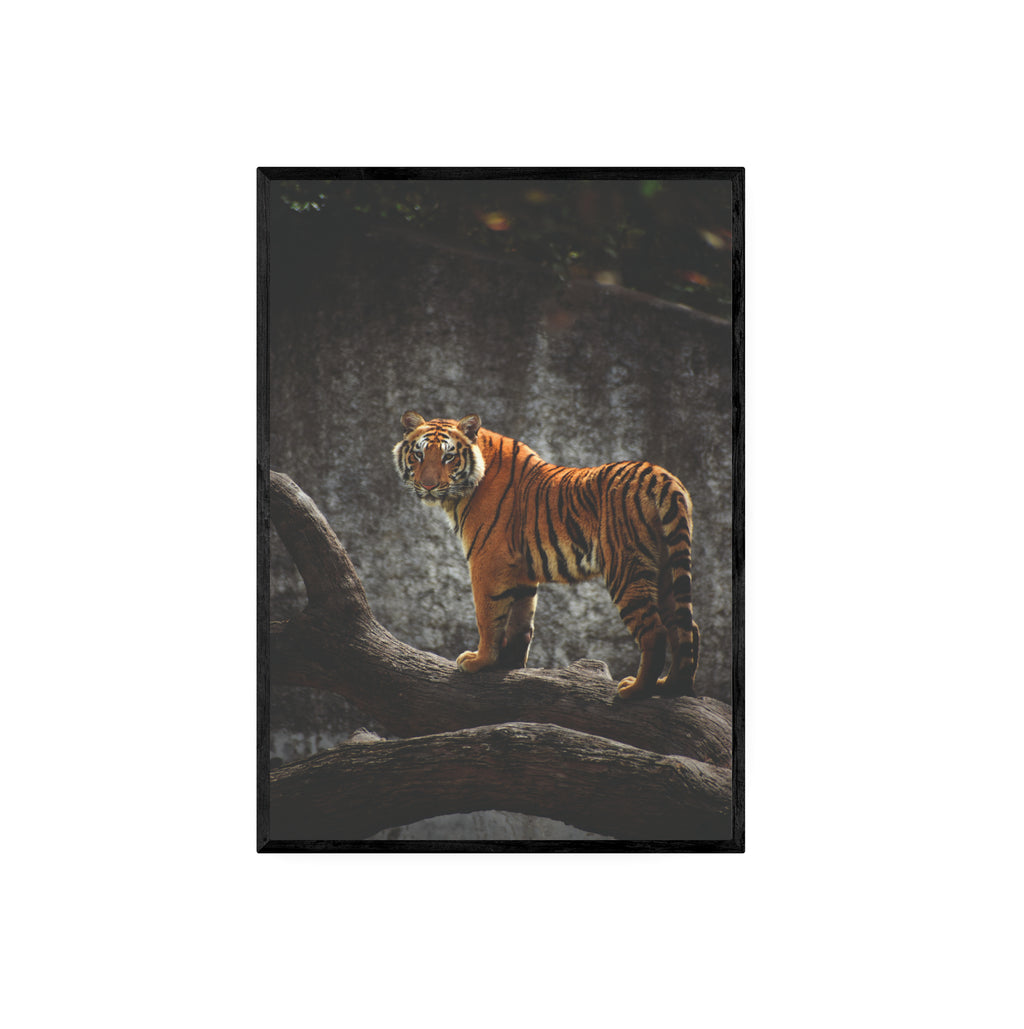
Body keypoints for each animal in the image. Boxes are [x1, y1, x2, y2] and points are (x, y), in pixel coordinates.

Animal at [392, 411, 700, 699]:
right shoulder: (520, 569)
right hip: (666, 569)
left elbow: (488, 615)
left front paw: (479, 661)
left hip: (626, 567)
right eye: (418, 454)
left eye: (448, 457)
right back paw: (671, 686)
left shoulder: (487, 560)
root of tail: (661, 476)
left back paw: (634, 690)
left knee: (655, 632)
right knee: (686, 628)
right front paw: (509, 664)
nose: (428, 485)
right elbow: (521, 620)